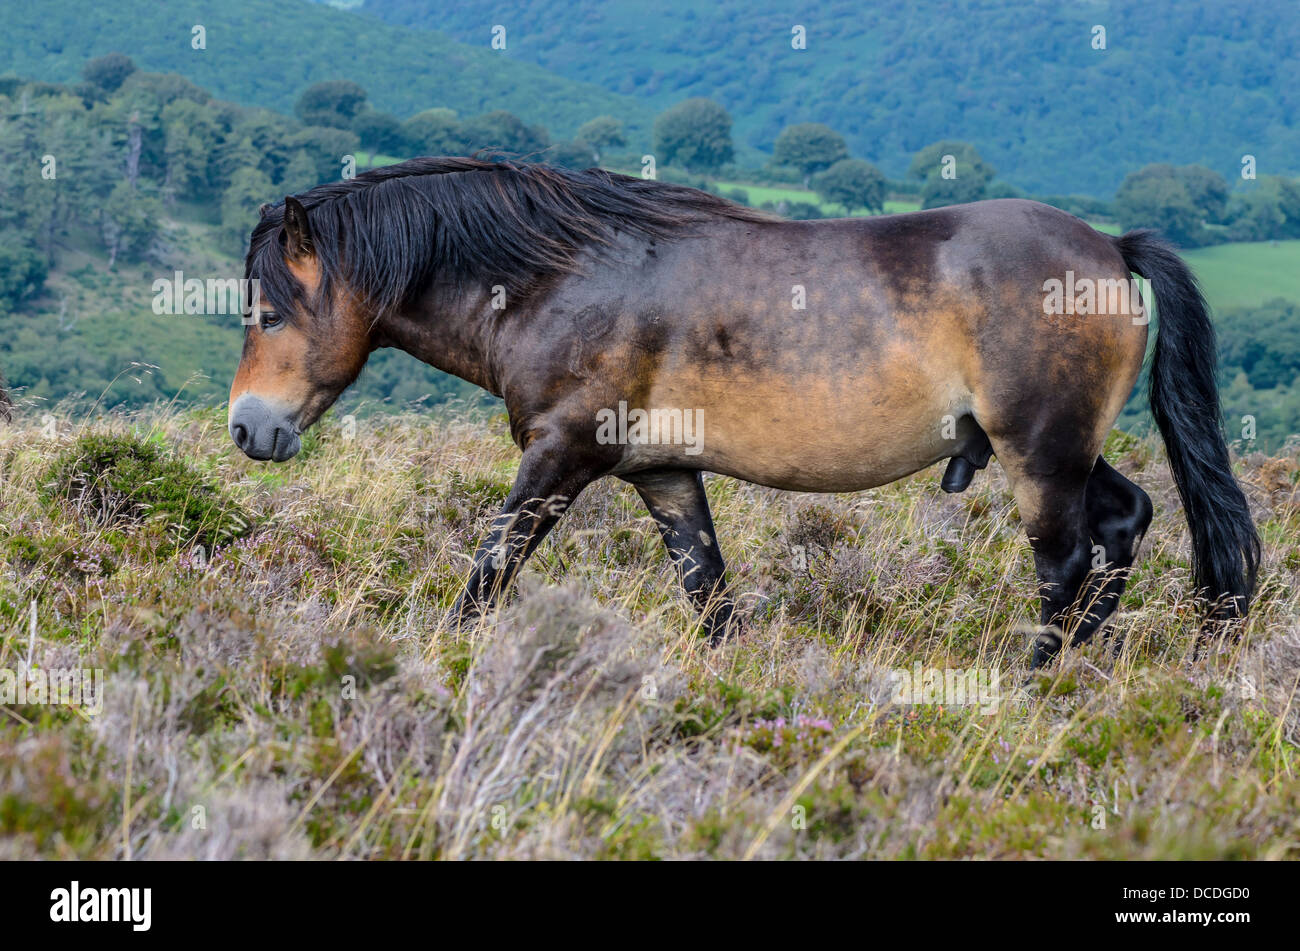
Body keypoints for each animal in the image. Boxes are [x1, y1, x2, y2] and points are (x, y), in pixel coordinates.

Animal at [228, 156, 1259, 666]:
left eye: (269, 311)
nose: (248, 427)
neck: (563, 276)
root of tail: (1109, 248)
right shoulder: (664, 474)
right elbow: (709, 595)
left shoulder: (559, 458)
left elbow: (489, 573)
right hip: (1060, 448)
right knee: (1125, 522)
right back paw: (1081, 668)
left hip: (1038, 452)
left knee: (1067, 561)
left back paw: (1035, 678)